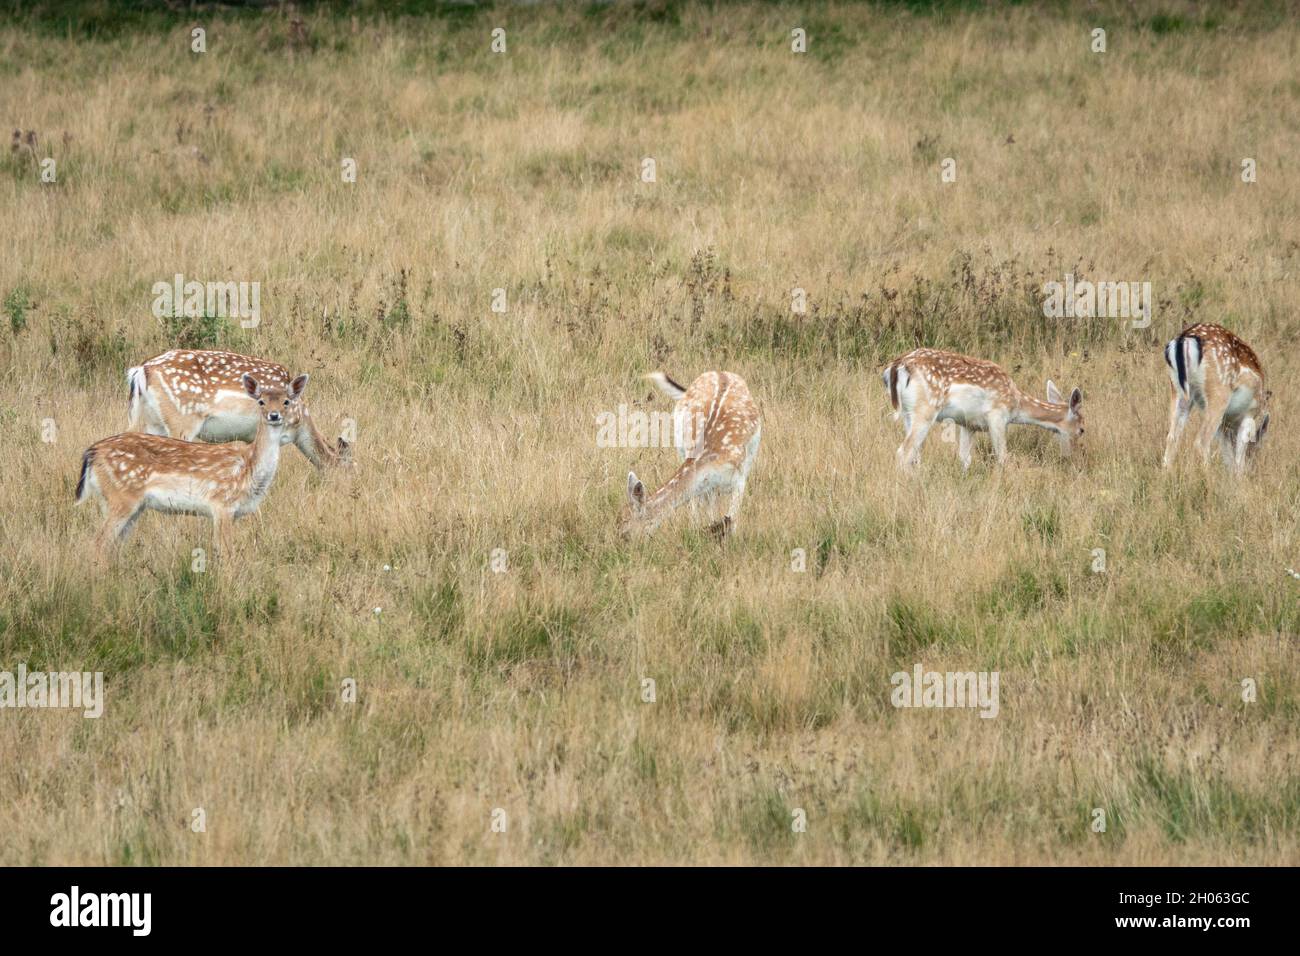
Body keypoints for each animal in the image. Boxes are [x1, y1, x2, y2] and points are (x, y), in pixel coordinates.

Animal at [77, 374, 300, 556]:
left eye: (286, 401)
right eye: (261, 401)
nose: (274, 415)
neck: (250, 468)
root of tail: (91, 453)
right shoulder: (222, 504)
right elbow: (225, 552)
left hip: (131, 505)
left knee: (113, 545)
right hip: (121, 497)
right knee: (98, 543)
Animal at [620, 371, 761, 539]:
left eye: (625, 533)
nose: (618, 541)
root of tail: (720, 372)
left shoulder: (739, 479)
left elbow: (732, 519)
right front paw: (700, 530)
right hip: (681, 446)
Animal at [882, 348, 1083, 471]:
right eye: (1082, 429)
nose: (1075, 455)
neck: (1016, 403)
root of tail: (897, 367)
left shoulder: (968, 424)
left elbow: (964, 459)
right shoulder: (997, 416)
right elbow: (1002, 457)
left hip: (908, 413)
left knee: (914, 454)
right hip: (926, 409)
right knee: (904, 452)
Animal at [1162, 323, 1270, 472]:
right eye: (1254, 453)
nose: (1253, 469)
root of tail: (1185, 339)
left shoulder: (1222, 426)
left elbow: (1228, 455)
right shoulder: (1249, 414)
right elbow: (1238, 458)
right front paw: (1239, 476)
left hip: (1179, 391)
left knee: (1172, 437)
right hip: (1218, 394)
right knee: (1201, 441)